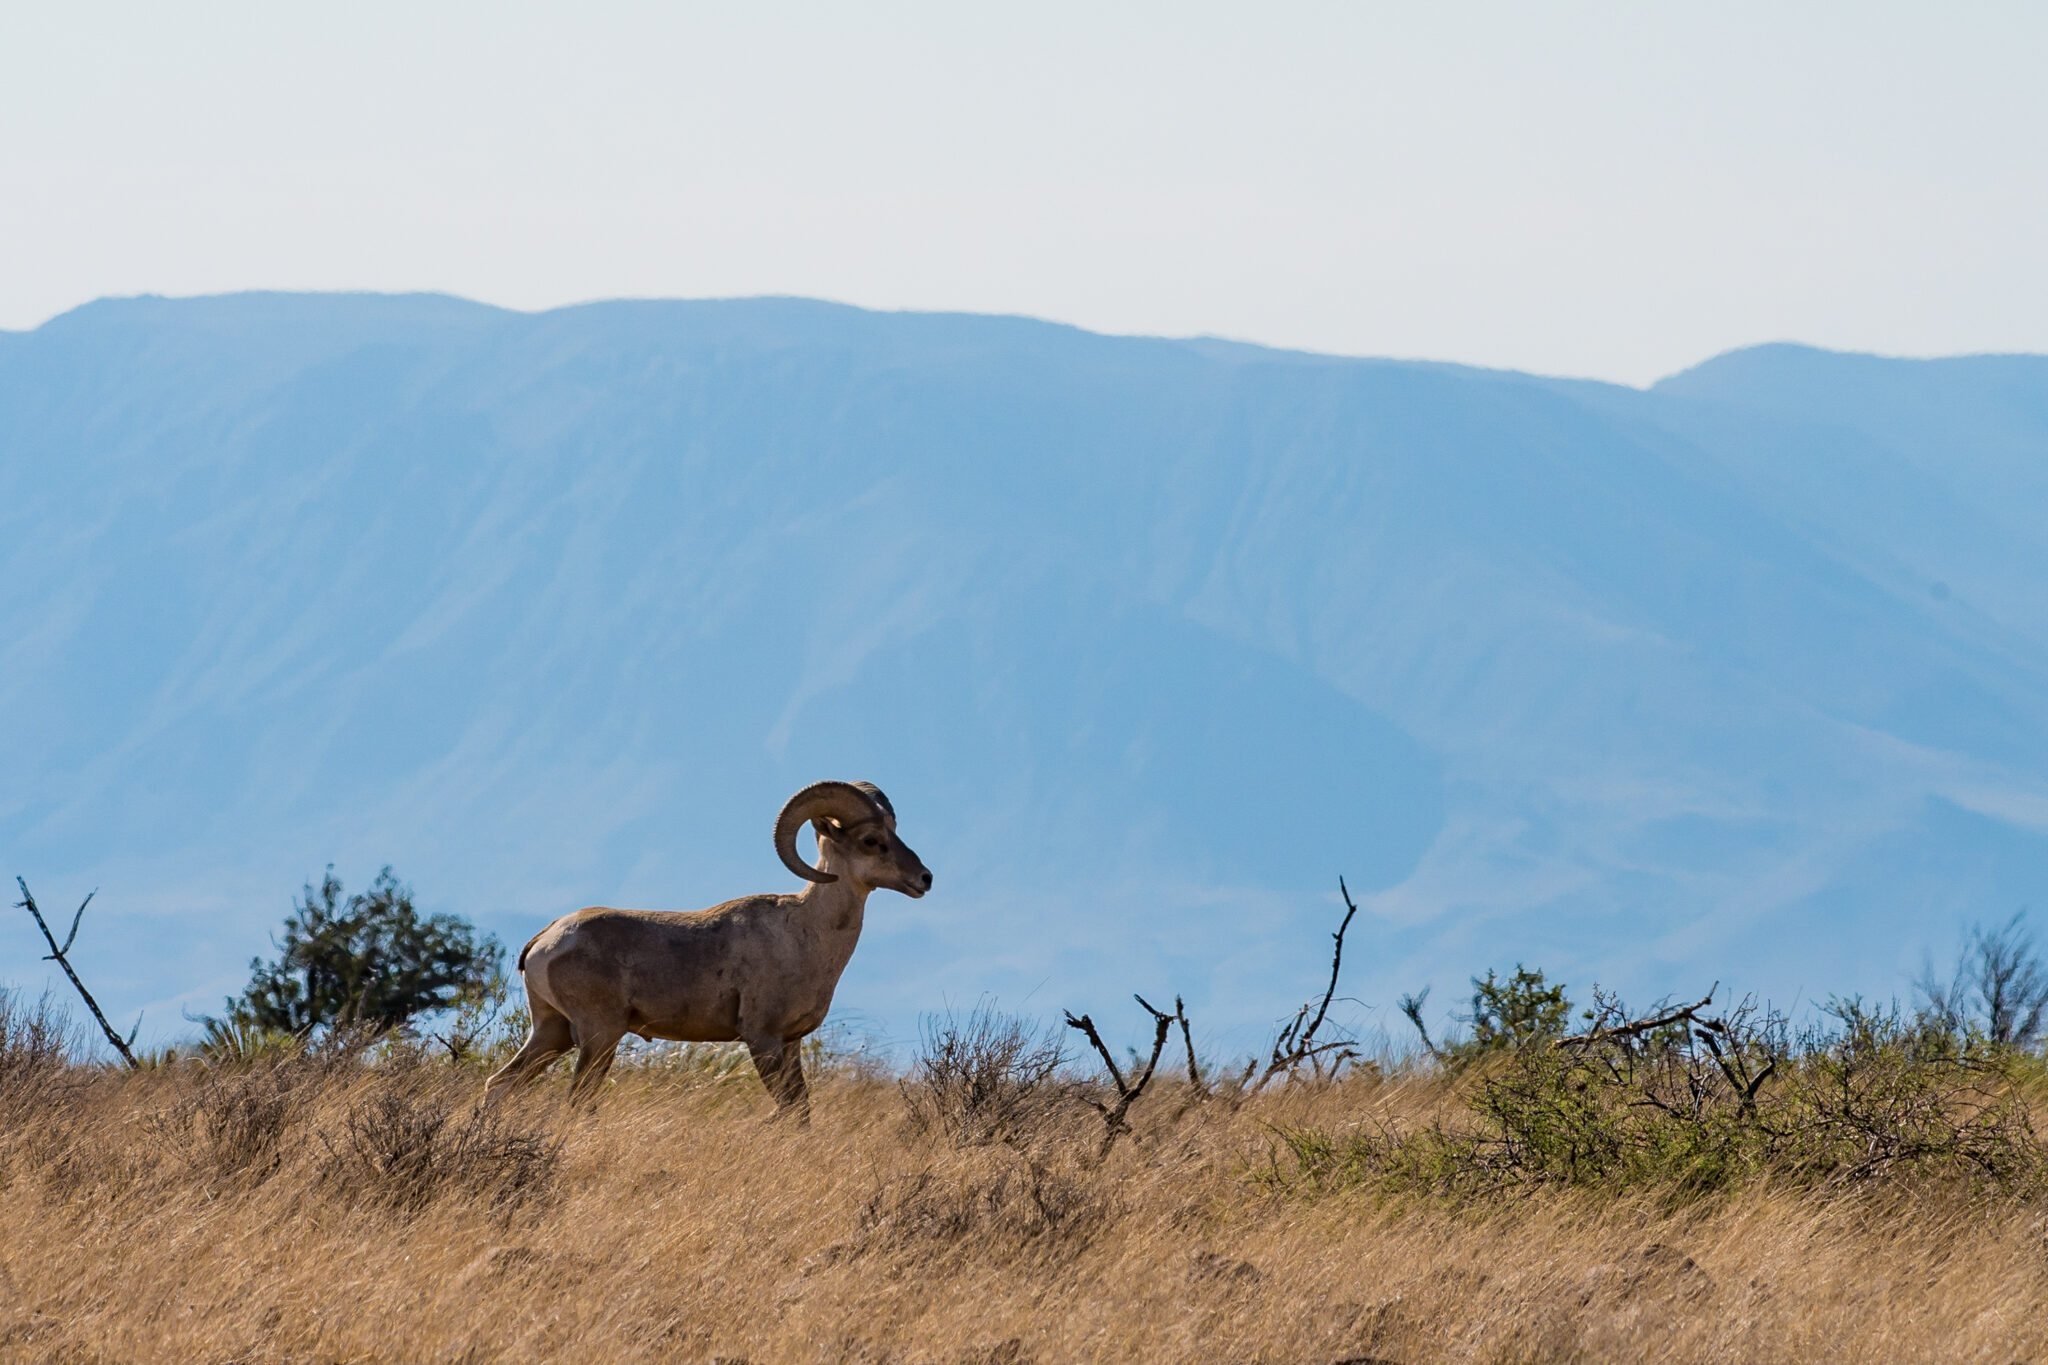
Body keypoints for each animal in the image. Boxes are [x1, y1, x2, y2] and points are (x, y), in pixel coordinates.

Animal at [484, 780, 931, 1117]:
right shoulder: (762, 1038)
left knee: (499, 1084)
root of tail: (545, 941)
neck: (805, 935)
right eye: (871, 840)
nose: (924, 878)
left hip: (552, 1033)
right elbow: (788, 1110)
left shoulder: (791, 1043)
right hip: (598, 1035)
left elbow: (801, 1110)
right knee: (576, 1099)